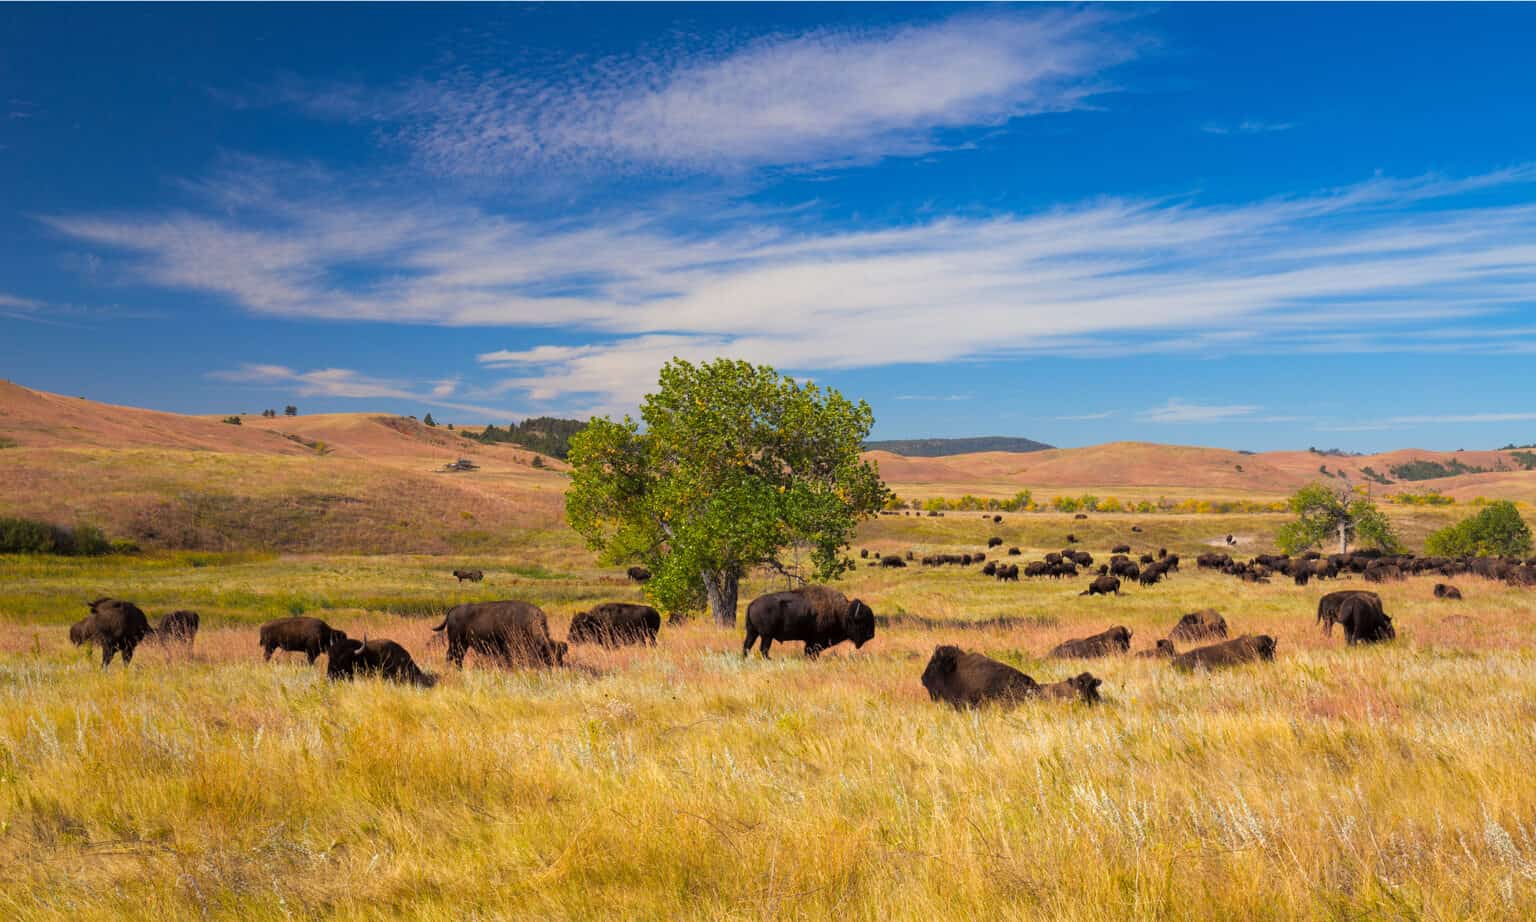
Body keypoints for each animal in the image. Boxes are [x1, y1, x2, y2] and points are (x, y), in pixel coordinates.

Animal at [435, 600, 567, 668]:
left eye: (560, 655)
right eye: (547, 655)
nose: (558, 666)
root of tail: (453, 610)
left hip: (463, 645)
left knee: (458, 658)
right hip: (456, 643)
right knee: (450, 656)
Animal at [743, 586, 875, 659]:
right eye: (862, 621)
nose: (871, 635)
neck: (841, 612)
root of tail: (752, 603)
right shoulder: (815, 641)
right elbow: (810, 651)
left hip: (752, 632)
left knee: (747, 646)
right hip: (766, 636)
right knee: (763, 649)